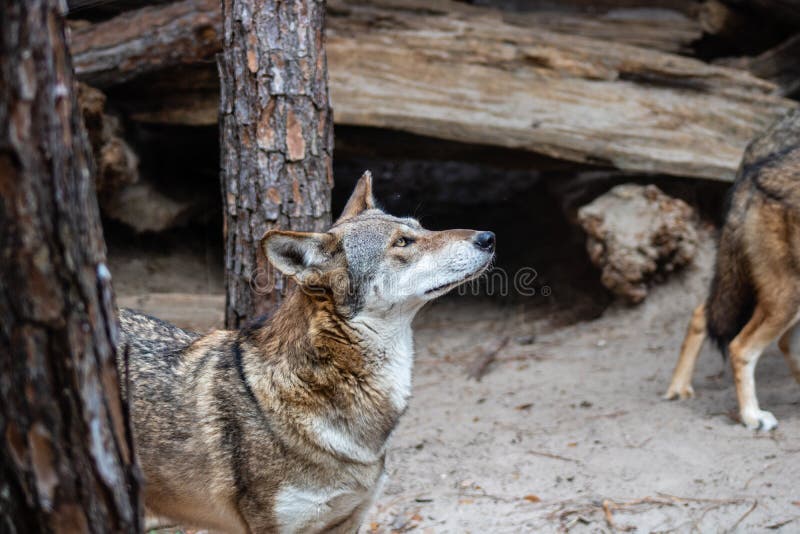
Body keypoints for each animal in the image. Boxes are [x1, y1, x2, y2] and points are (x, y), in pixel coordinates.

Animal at [665, 110, 800, 431]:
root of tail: (754, 172)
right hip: (786, 299)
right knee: (741, 348)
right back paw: (752, 416)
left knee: (703, 313)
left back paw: (679, 387)